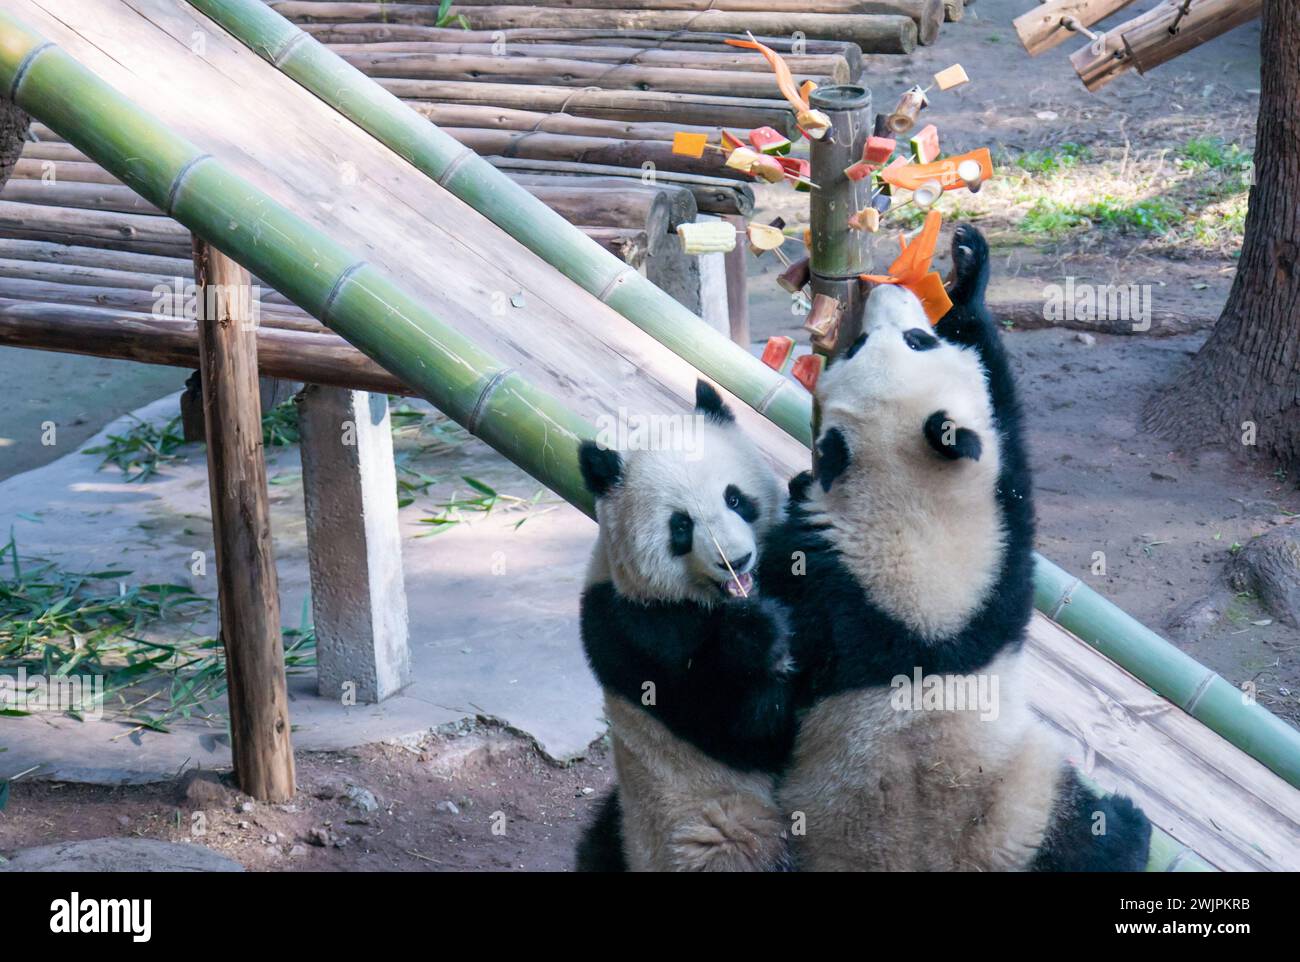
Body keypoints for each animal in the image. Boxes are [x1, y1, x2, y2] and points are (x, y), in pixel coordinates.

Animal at [574, 380, 797, 872]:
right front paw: (758, 638)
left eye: (735, 498)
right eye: (681, 526)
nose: (736, 560)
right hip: (716, 829)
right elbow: (738, 725)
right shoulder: (632, 627)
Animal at [760, 225, 1152, 871]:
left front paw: (966, 273)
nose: (884, 294)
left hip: (1028, 804)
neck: (910, 518)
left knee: (1104, 833)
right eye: (861, 342)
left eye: (915, 339)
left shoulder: (989, 560)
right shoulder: (990, 560)